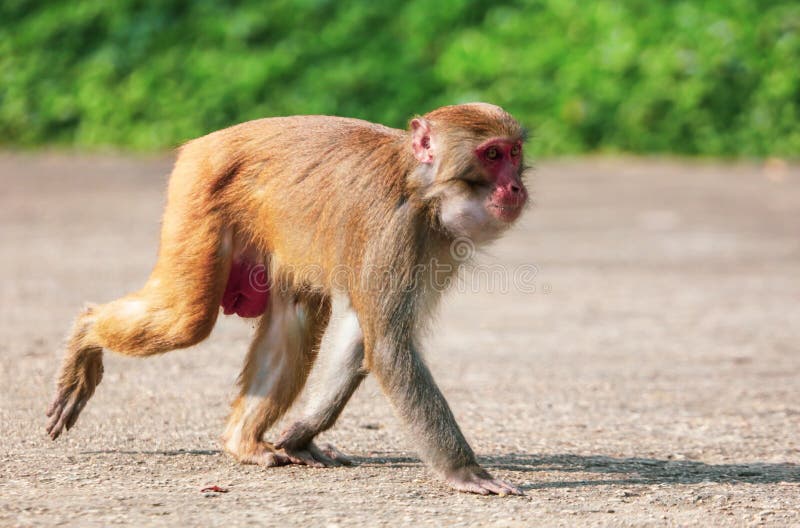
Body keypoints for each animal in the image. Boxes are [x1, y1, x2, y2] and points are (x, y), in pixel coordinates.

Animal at [46, 103, 529, 496]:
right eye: (492, 155)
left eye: (515, 154)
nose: (517, 188)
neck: (423, 190)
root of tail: (206, 141)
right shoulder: (397, 230)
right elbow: (389, 348)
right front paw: (464, 471)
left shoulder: (435, 246)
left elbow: (362, 338)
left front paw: (300, 434)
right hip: (198, 195)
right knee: (188, 319)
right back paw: (85, 333)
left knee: (296, 315)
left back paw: (242, 442)